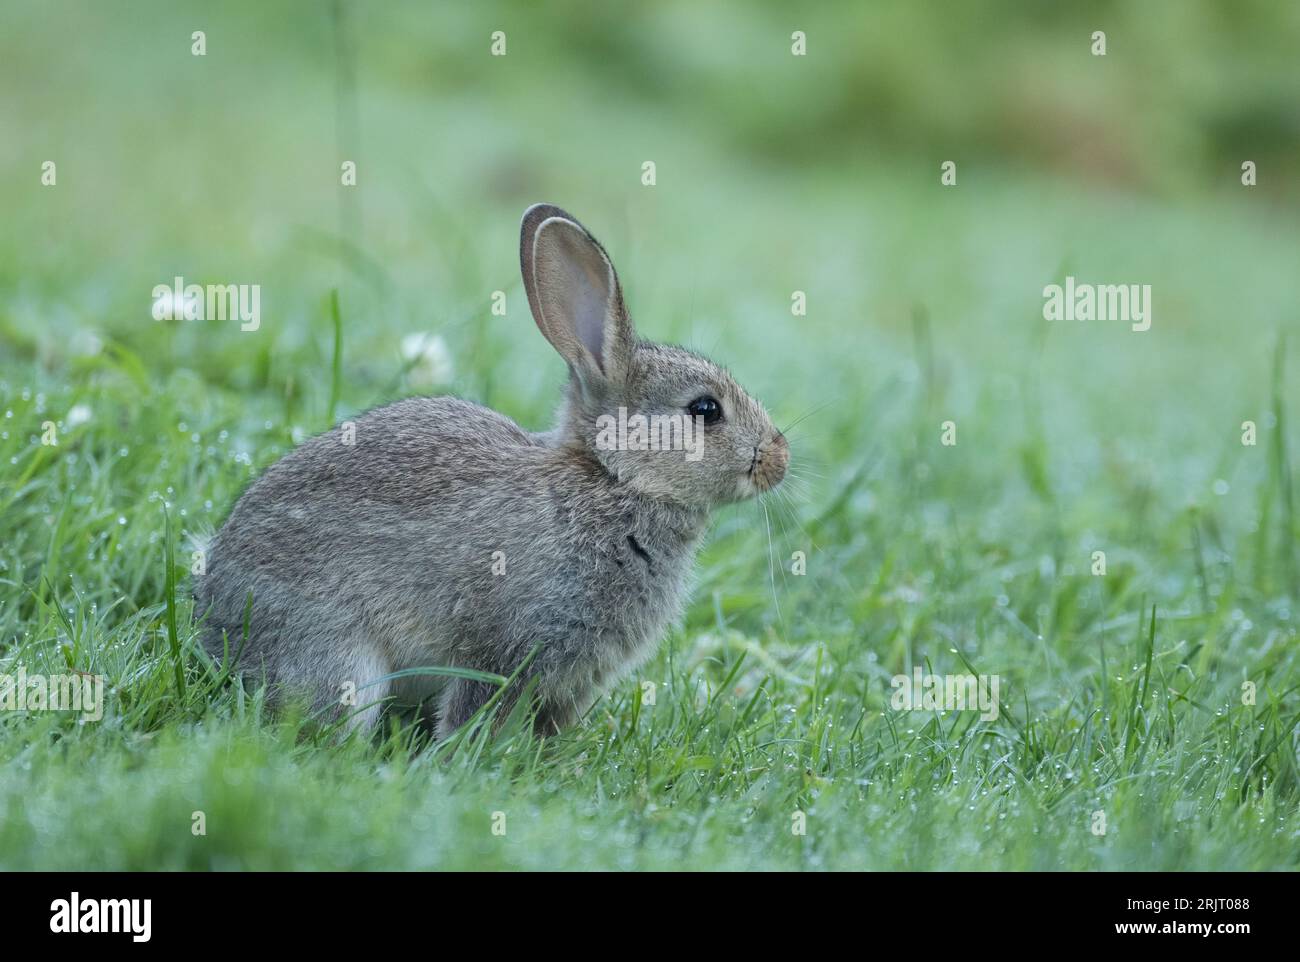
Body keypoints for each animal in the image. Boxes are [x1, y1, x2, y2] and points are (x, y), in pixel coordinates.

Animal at [194, 204, 789, 738]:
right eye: (705, 410)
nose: (778, 459)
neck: (613, 481)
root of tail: (213, 613)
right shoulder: (505, 647)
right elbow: (476, 707)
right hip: (340, 660)